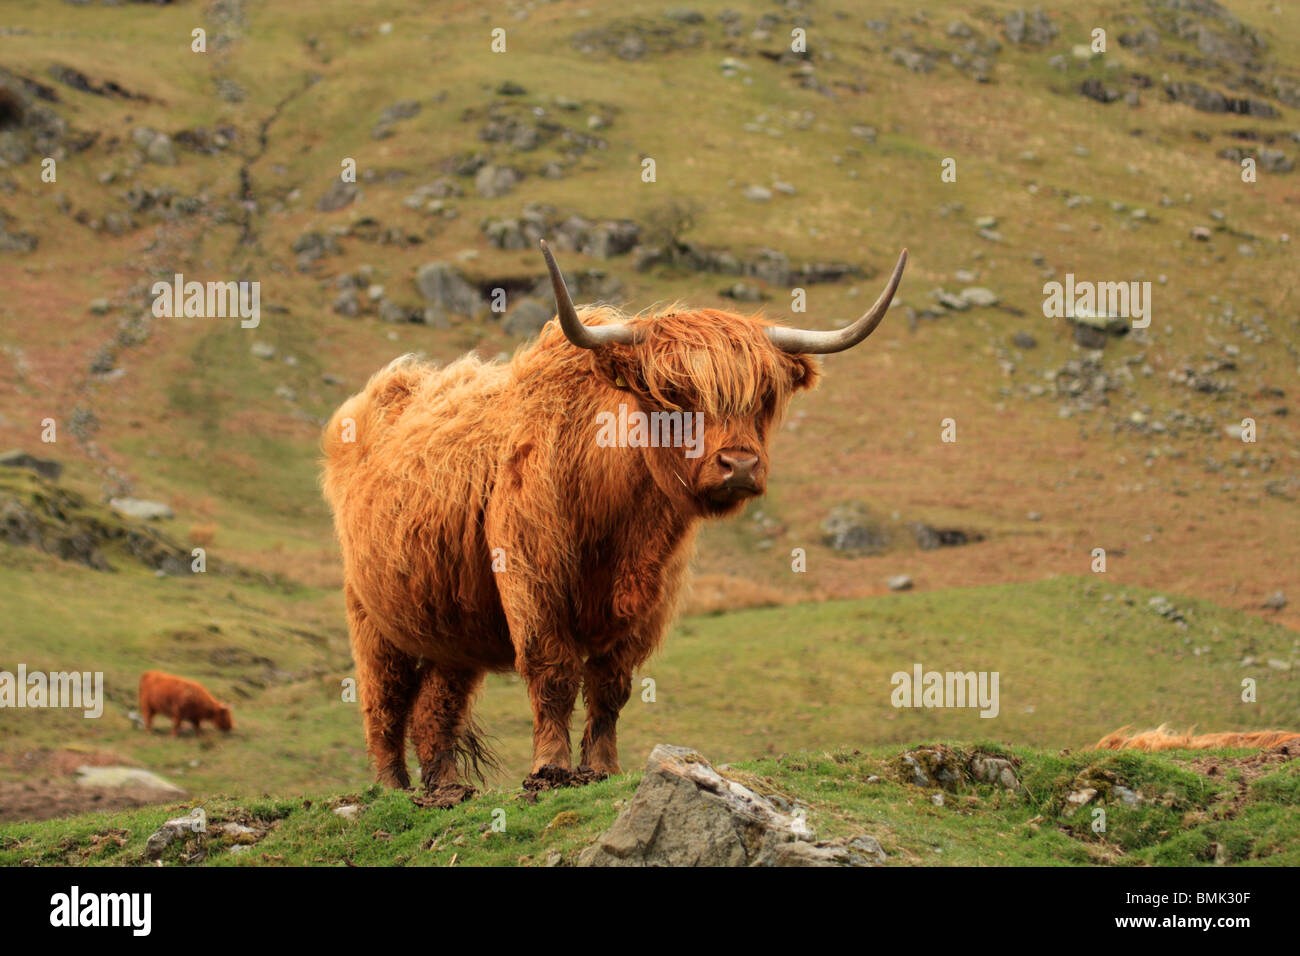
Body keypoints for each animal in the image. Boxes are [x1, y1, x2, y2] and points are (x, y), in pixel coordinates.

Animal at [321, 240, 907, 793]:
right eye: (674, 393)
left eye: (765, 395)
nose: (740, 464)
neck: (621, 521)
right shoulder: (531, 577)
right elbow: (553, 672)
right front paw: (550, 767)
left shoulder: (650, 600)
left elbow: (611, 687)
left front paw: (602, 767)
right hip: (371, 617)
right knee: (383, 701)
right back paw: (393, 788)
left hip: (449, 627)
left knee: (434, 707)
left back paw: (446, 787)